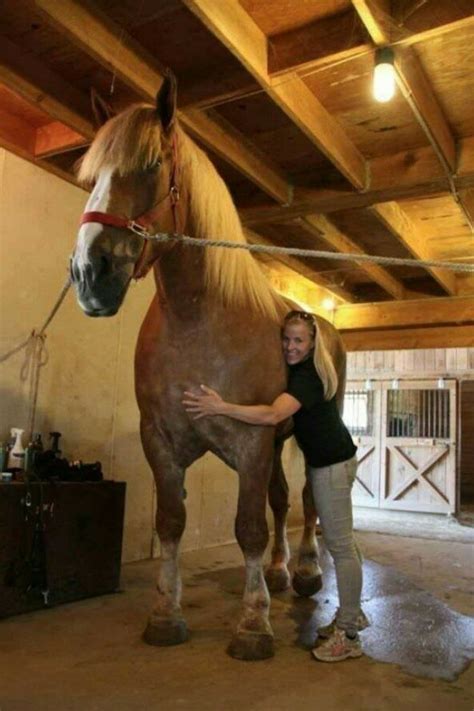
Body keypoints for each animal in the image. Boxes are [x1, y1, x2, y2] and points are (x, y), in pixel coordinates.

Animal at [69, 73, 344, 660]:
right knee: (282, 499)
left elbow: (248, 527)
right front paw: (165, 615)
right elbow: (171, 522)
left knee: (308, 501)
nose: (88, 274)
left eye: (151, 165)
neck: (198, 319)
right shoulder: (162, 441)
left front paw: (253, 624)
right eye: (91, 175)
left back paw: (307, 573)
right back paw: (280, 573)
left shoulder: (251, 440)